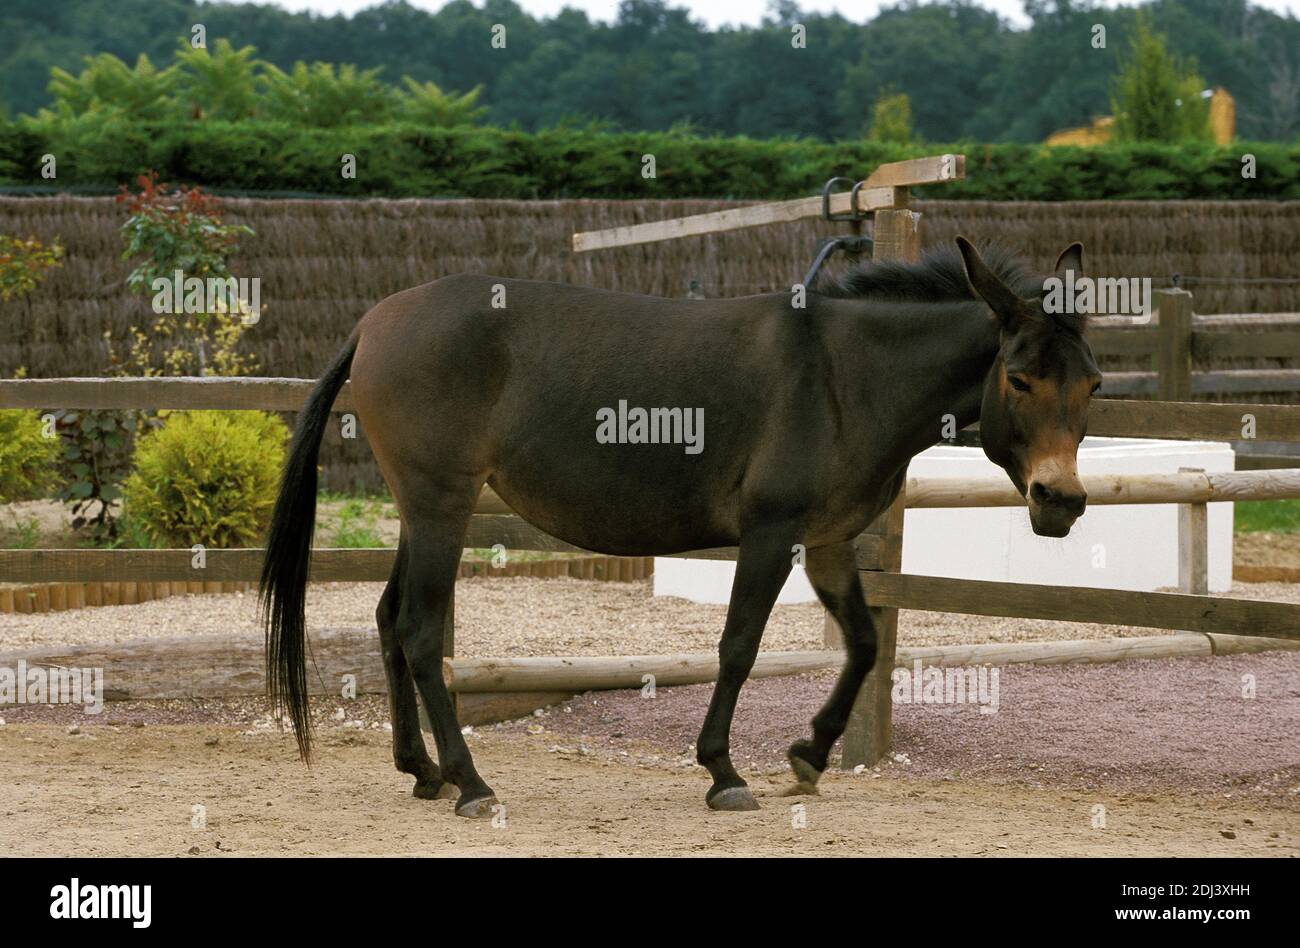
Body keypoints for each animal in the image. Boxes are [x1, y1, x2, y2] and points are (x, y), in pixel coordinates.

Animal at [261, 236, 1101, 818]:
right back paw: (470, 782)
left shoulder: (826, 543)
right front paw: (723, 772)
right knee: (421, 631)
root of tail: (375, 321)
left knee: (388, 619)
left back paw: (424, 772)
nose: (1060, 501)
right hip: (441, 505)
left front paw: (810, 753)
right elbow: (737, 648)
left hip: (422, 507)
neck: (844, 374)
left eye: (1092, 383)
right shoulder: (771, 534)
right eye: (1019, 378)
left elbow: (863, 644)